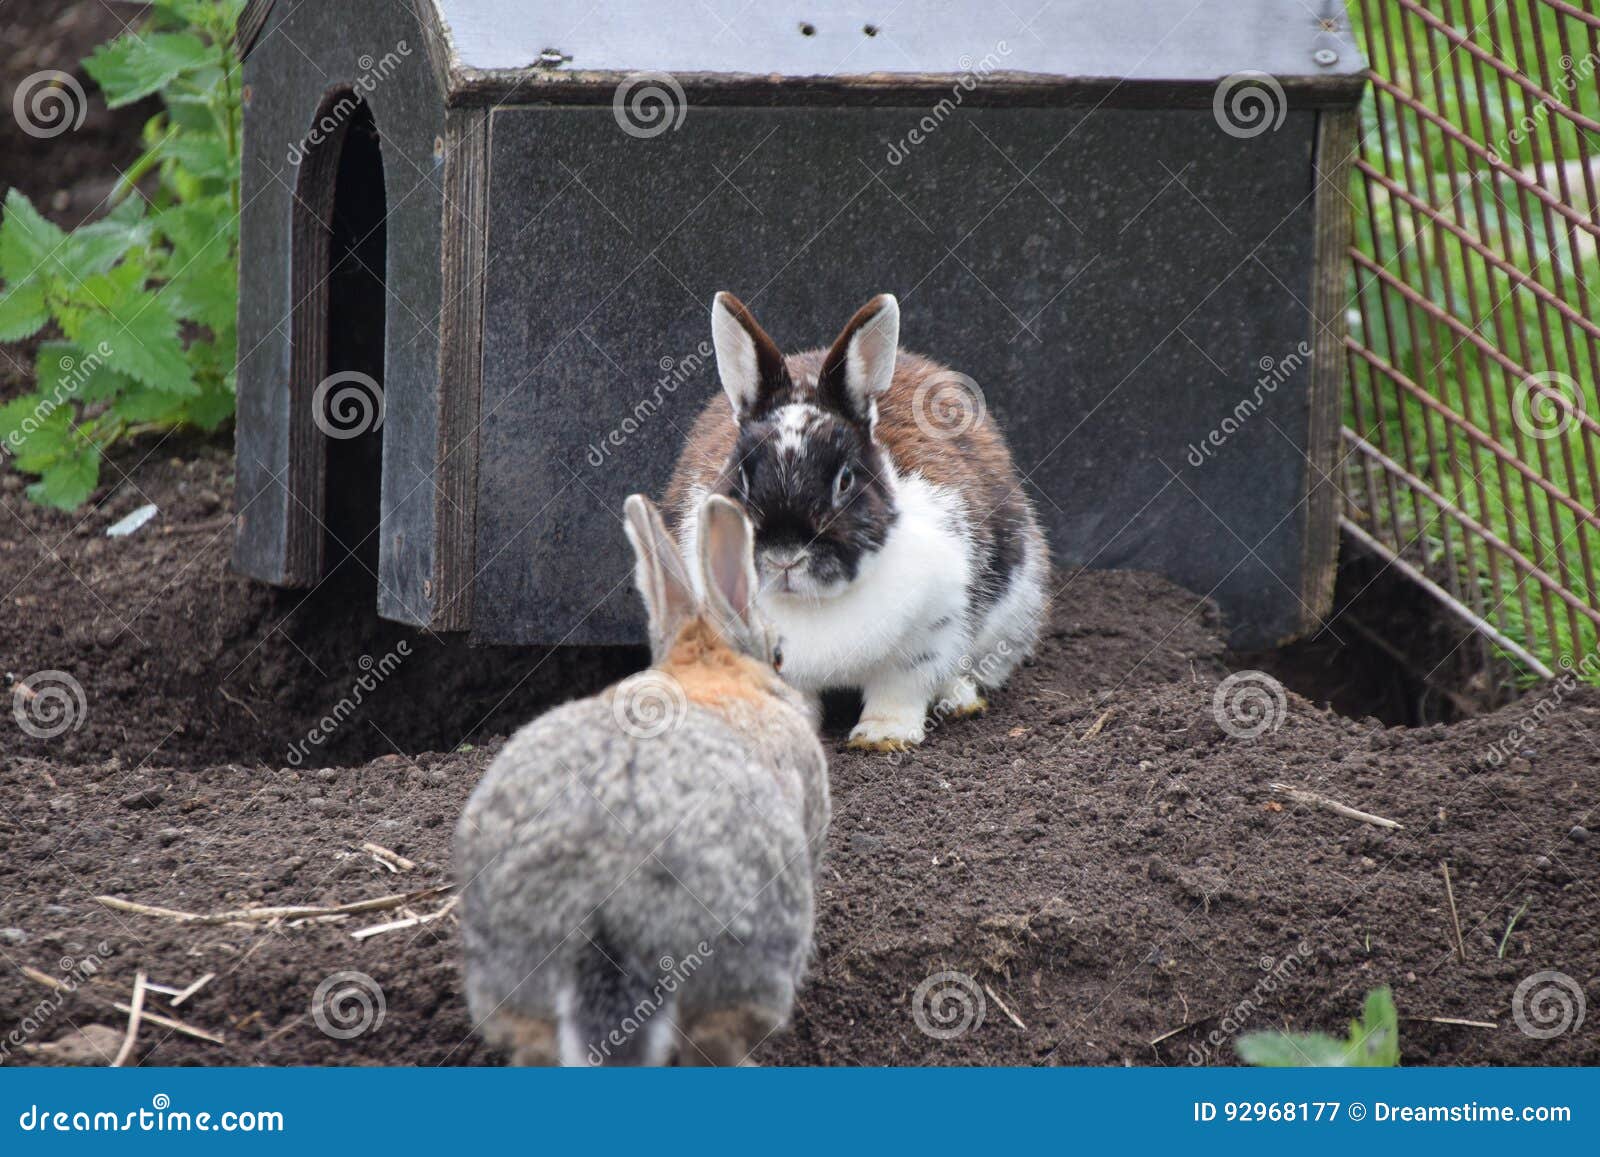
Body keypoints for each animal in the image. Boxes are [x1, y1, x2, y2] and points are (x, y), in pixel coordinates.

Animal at [665, 291, 1049, 751]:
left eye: (845, 480)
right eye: (740, 475)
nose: (784, 556)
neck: (814, 603)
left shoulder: (929, 634)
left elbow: (901, 688)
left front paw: (883, 735)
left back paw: (959, 699)